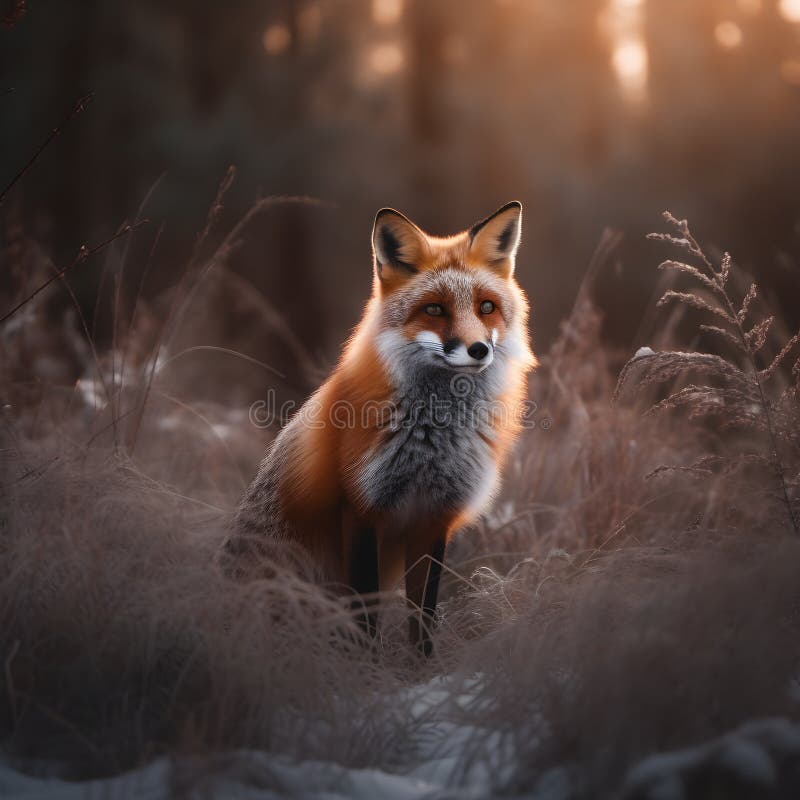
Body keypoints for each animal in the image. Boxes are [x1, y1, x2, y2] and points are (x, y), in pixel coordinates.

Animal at [225, 202, 537, 655]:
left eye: (486, 307)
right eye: (435, 309)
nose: (479, 349)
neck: (433, 440)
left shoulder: (434, 518)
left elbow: (422, 619)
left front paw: (419, 669)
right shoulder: (361, 507)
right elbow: (364, 614)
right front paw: (368, 668)